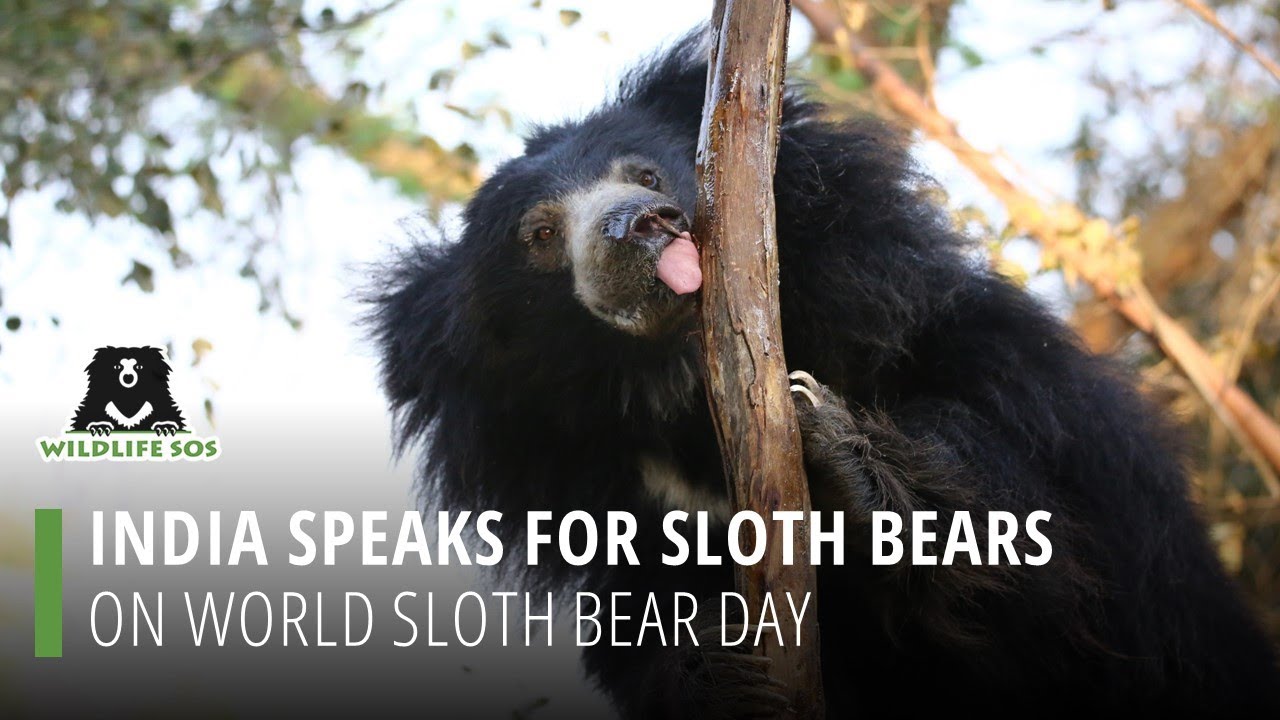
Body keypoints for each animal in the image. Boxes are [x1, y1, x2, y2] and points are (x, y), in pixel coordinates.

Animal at [368, 38, 1280, 716]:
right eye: (541, 235)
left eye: (650, 174)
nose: (644, 226)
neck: (680, 379)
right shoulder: (607, 494)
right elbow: (644, 631)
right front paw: (713, 668)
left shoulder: (997, 372)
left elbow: (1053, 536)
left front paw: (857, 470)